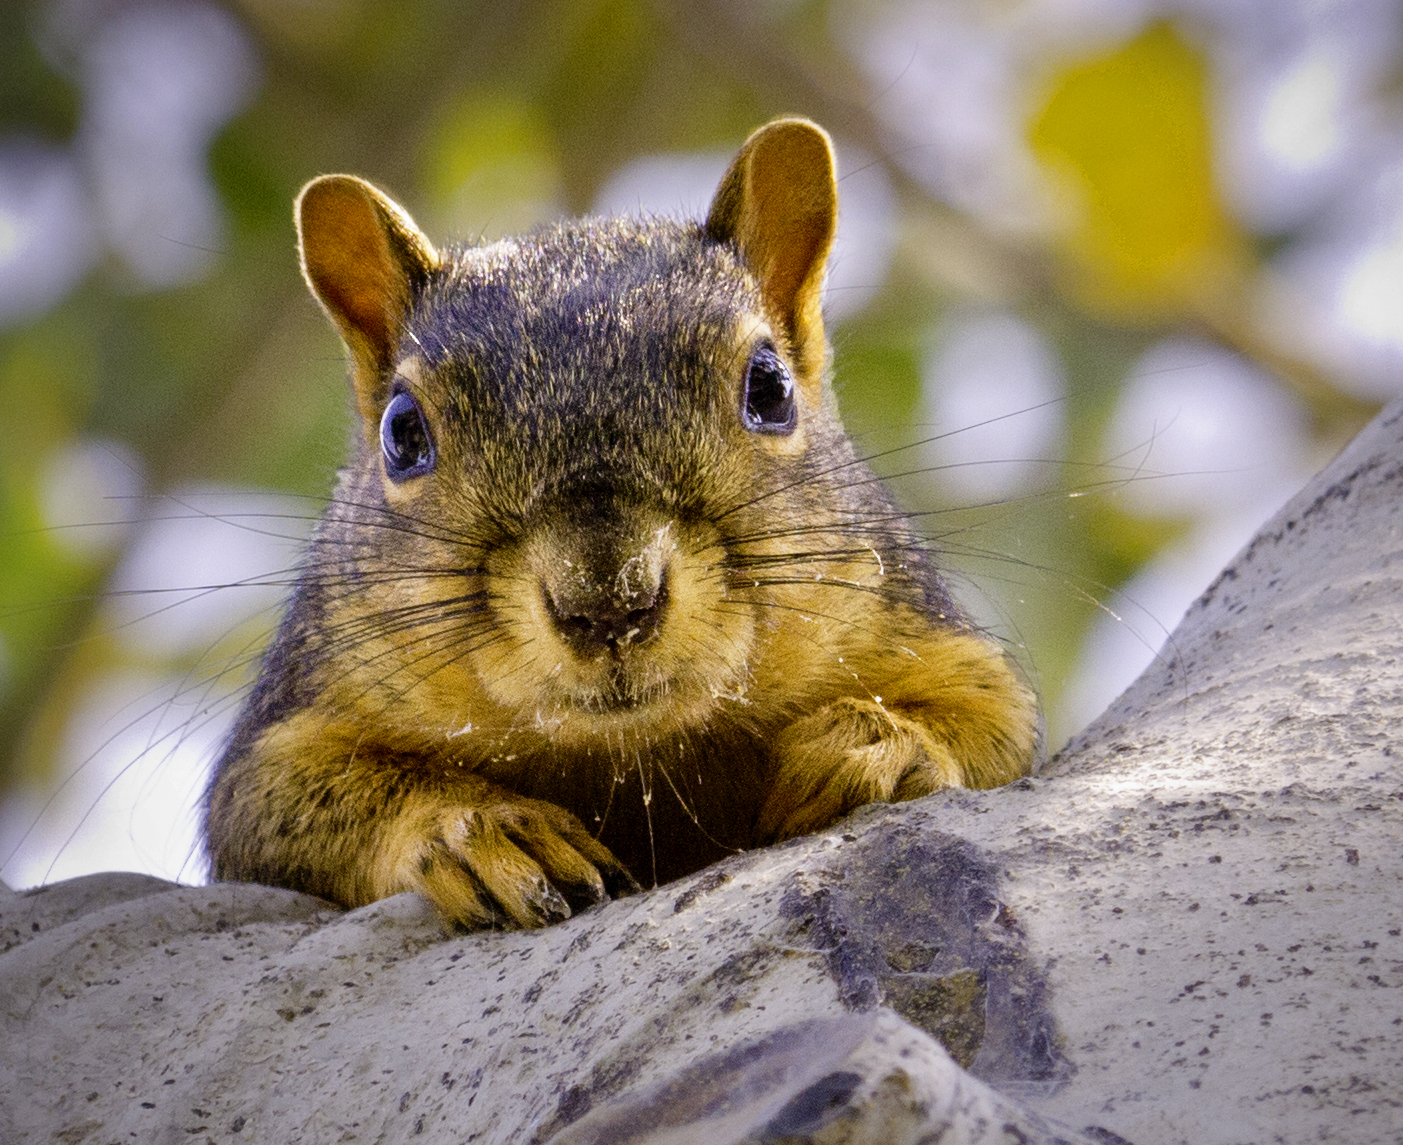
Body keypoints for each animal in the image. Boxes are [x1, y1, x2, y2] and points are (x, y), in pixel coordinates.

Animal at [203, 117, 1040, 931]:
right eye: (402, 434)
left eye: (769, 388)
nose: (609, 604)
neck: (636, 752)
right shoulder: (300, 711)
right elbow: (273, 805)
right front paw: (487, 831)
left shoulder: (914, 626)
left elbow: (993, 721)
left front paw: (873, 746)